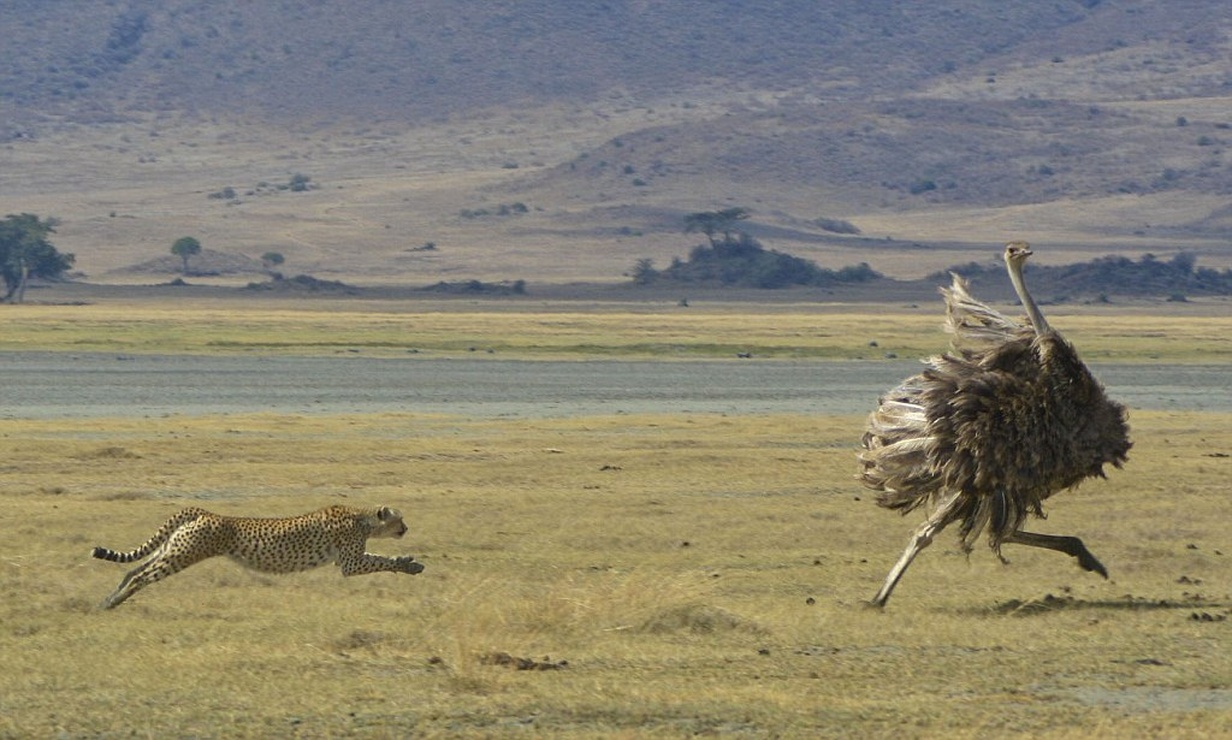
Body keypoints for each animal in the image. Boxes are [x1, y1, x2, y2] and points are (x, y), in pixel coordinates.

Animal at [91, 505, 424, 609]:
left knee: (132, 570)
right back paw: (114, 602)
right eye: (400, 518)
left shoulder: (351, 558)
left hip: (172, 548)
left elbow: (382, 556)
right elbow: (381, 560)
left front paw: (409, 562)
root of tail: (203, 511)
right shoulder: (350, 563)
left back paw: (108, 597)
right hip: (182, 555)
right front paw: (411, 564)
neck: (363, 518)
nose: (407, 528)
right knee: (141, 575)